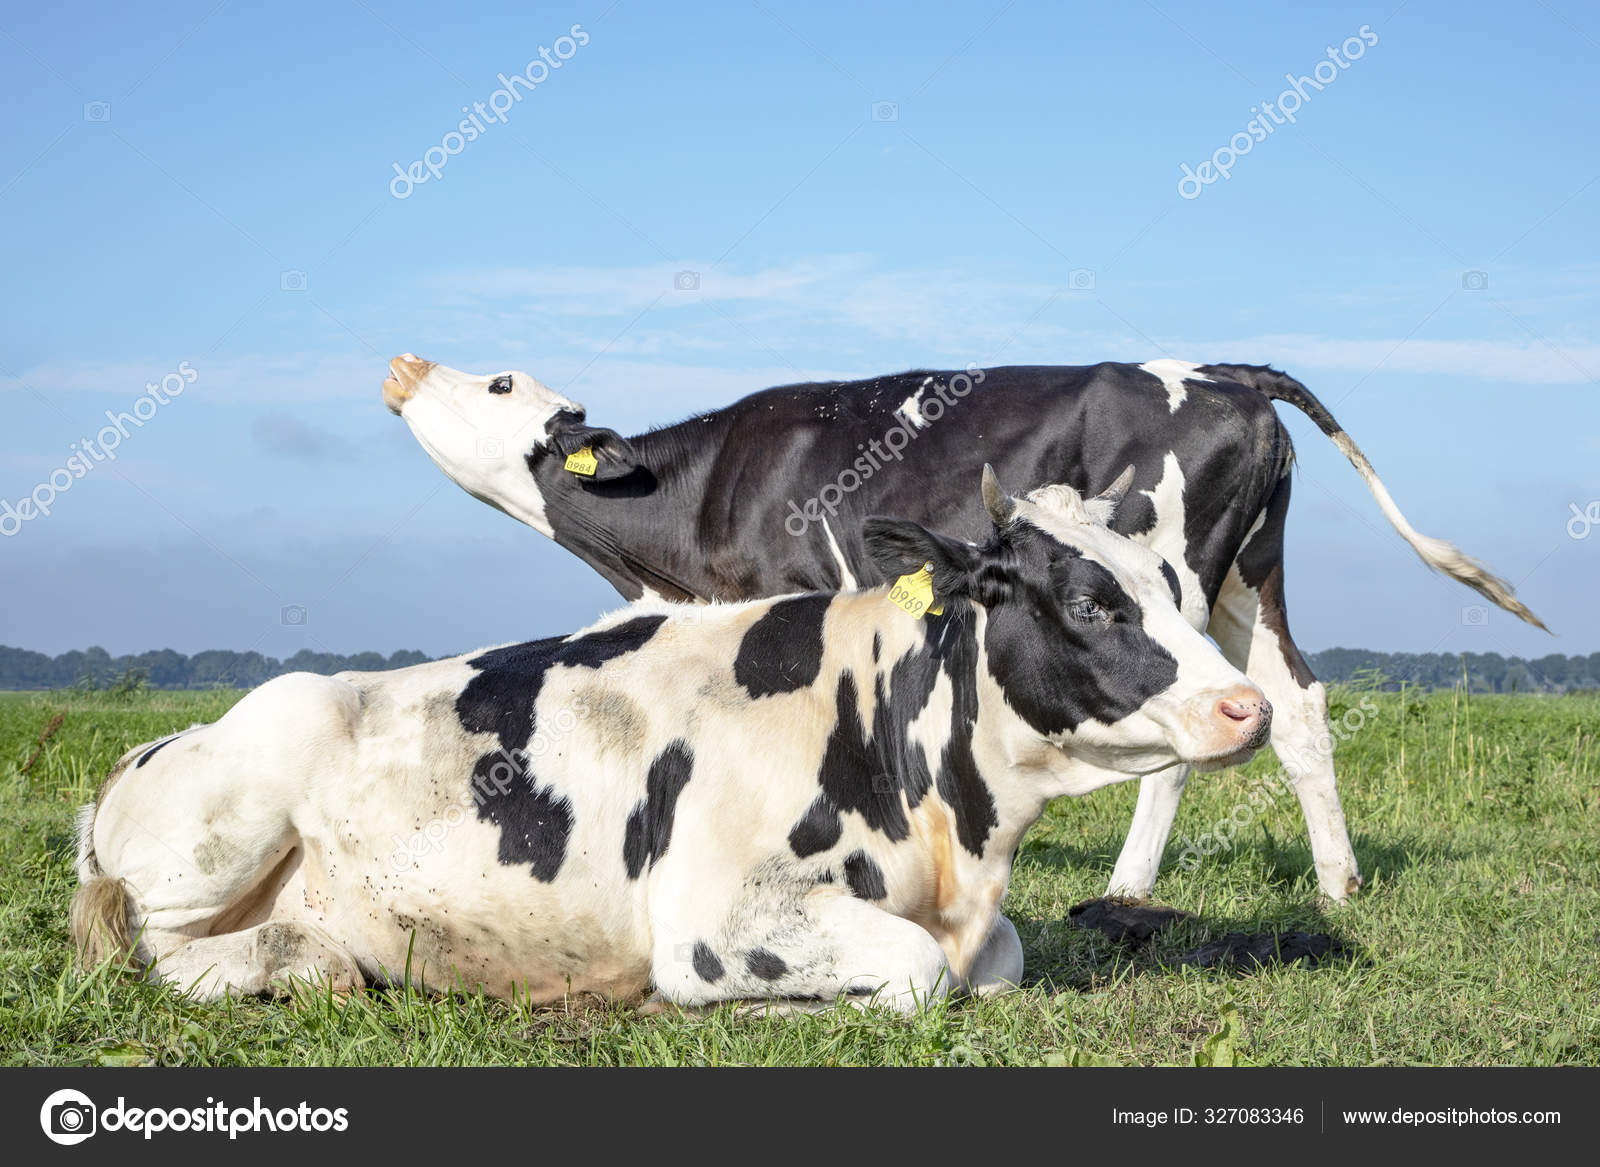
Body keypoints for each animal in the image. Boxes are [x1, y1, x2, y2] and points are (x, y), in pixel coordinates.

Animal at [72, 472, 1270, 1009]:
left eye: (1173, 586)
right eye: (1090, 602)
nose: (1244, 707)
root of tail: (157, 746)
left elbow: (994, 962)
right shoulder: (713, 919)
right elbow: (920, 972)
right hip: (224, 825)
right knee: (154, 946)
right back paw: (299, 957)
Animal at [383, 354, 1544, 903]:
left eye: (497, 378)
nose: (403, 365)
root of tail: (1224, 369)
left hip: (1177, 572)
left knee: (1188, 723)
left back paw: (1127, 885)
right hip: (1253, 576)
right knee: (1298, 703)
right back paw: (1338, 883)